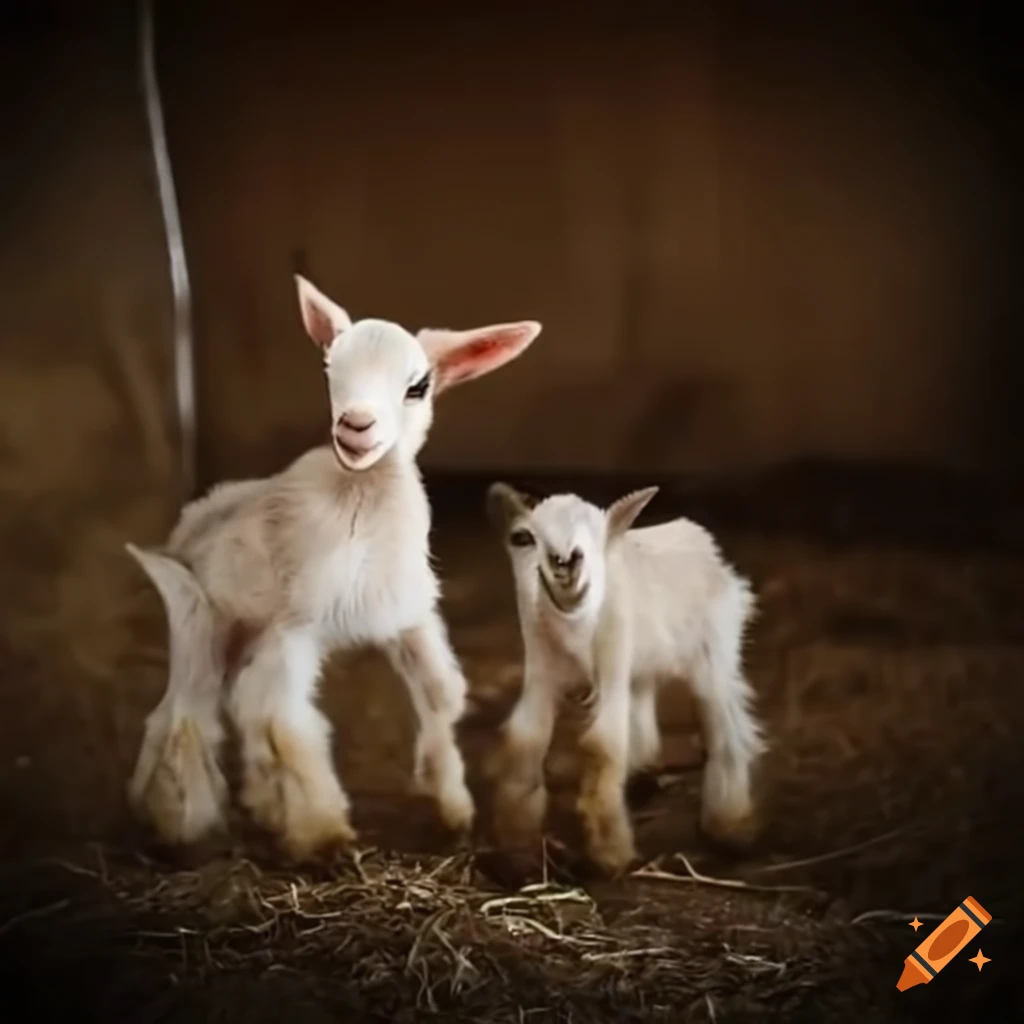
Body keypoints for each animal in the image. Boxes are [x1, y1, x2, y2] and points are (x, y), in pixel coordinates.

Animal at [126, 275, 542, 860]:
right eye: (330, 370)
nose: (355, 426)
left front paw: (453, 808)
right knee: (186, 710)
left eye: (418, 386)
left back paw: (255, 803)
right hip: (198, 624)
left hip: (243, 630)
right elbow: (288, 720)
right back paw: (183, 822)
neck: (357, 497)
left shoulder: (406, 616)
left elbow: (443, 694)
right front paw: (322, 832)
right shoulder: (298, 626)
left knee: (234, 703)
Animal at [485, 483, 766, 874]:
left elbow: (602, 741)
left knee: (727, 723)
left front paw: (610, 853)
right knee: (644, 713)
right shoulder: (542, 666)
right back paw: (643, 778)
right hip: (642, 663)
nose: (565, 562)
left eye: (597, 537)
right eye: (522, 537)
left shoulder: (612, 660)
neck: (575, 633)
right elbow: (526, 736)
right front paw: (516, 848)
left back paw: (731, 826)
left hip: (714, 649)